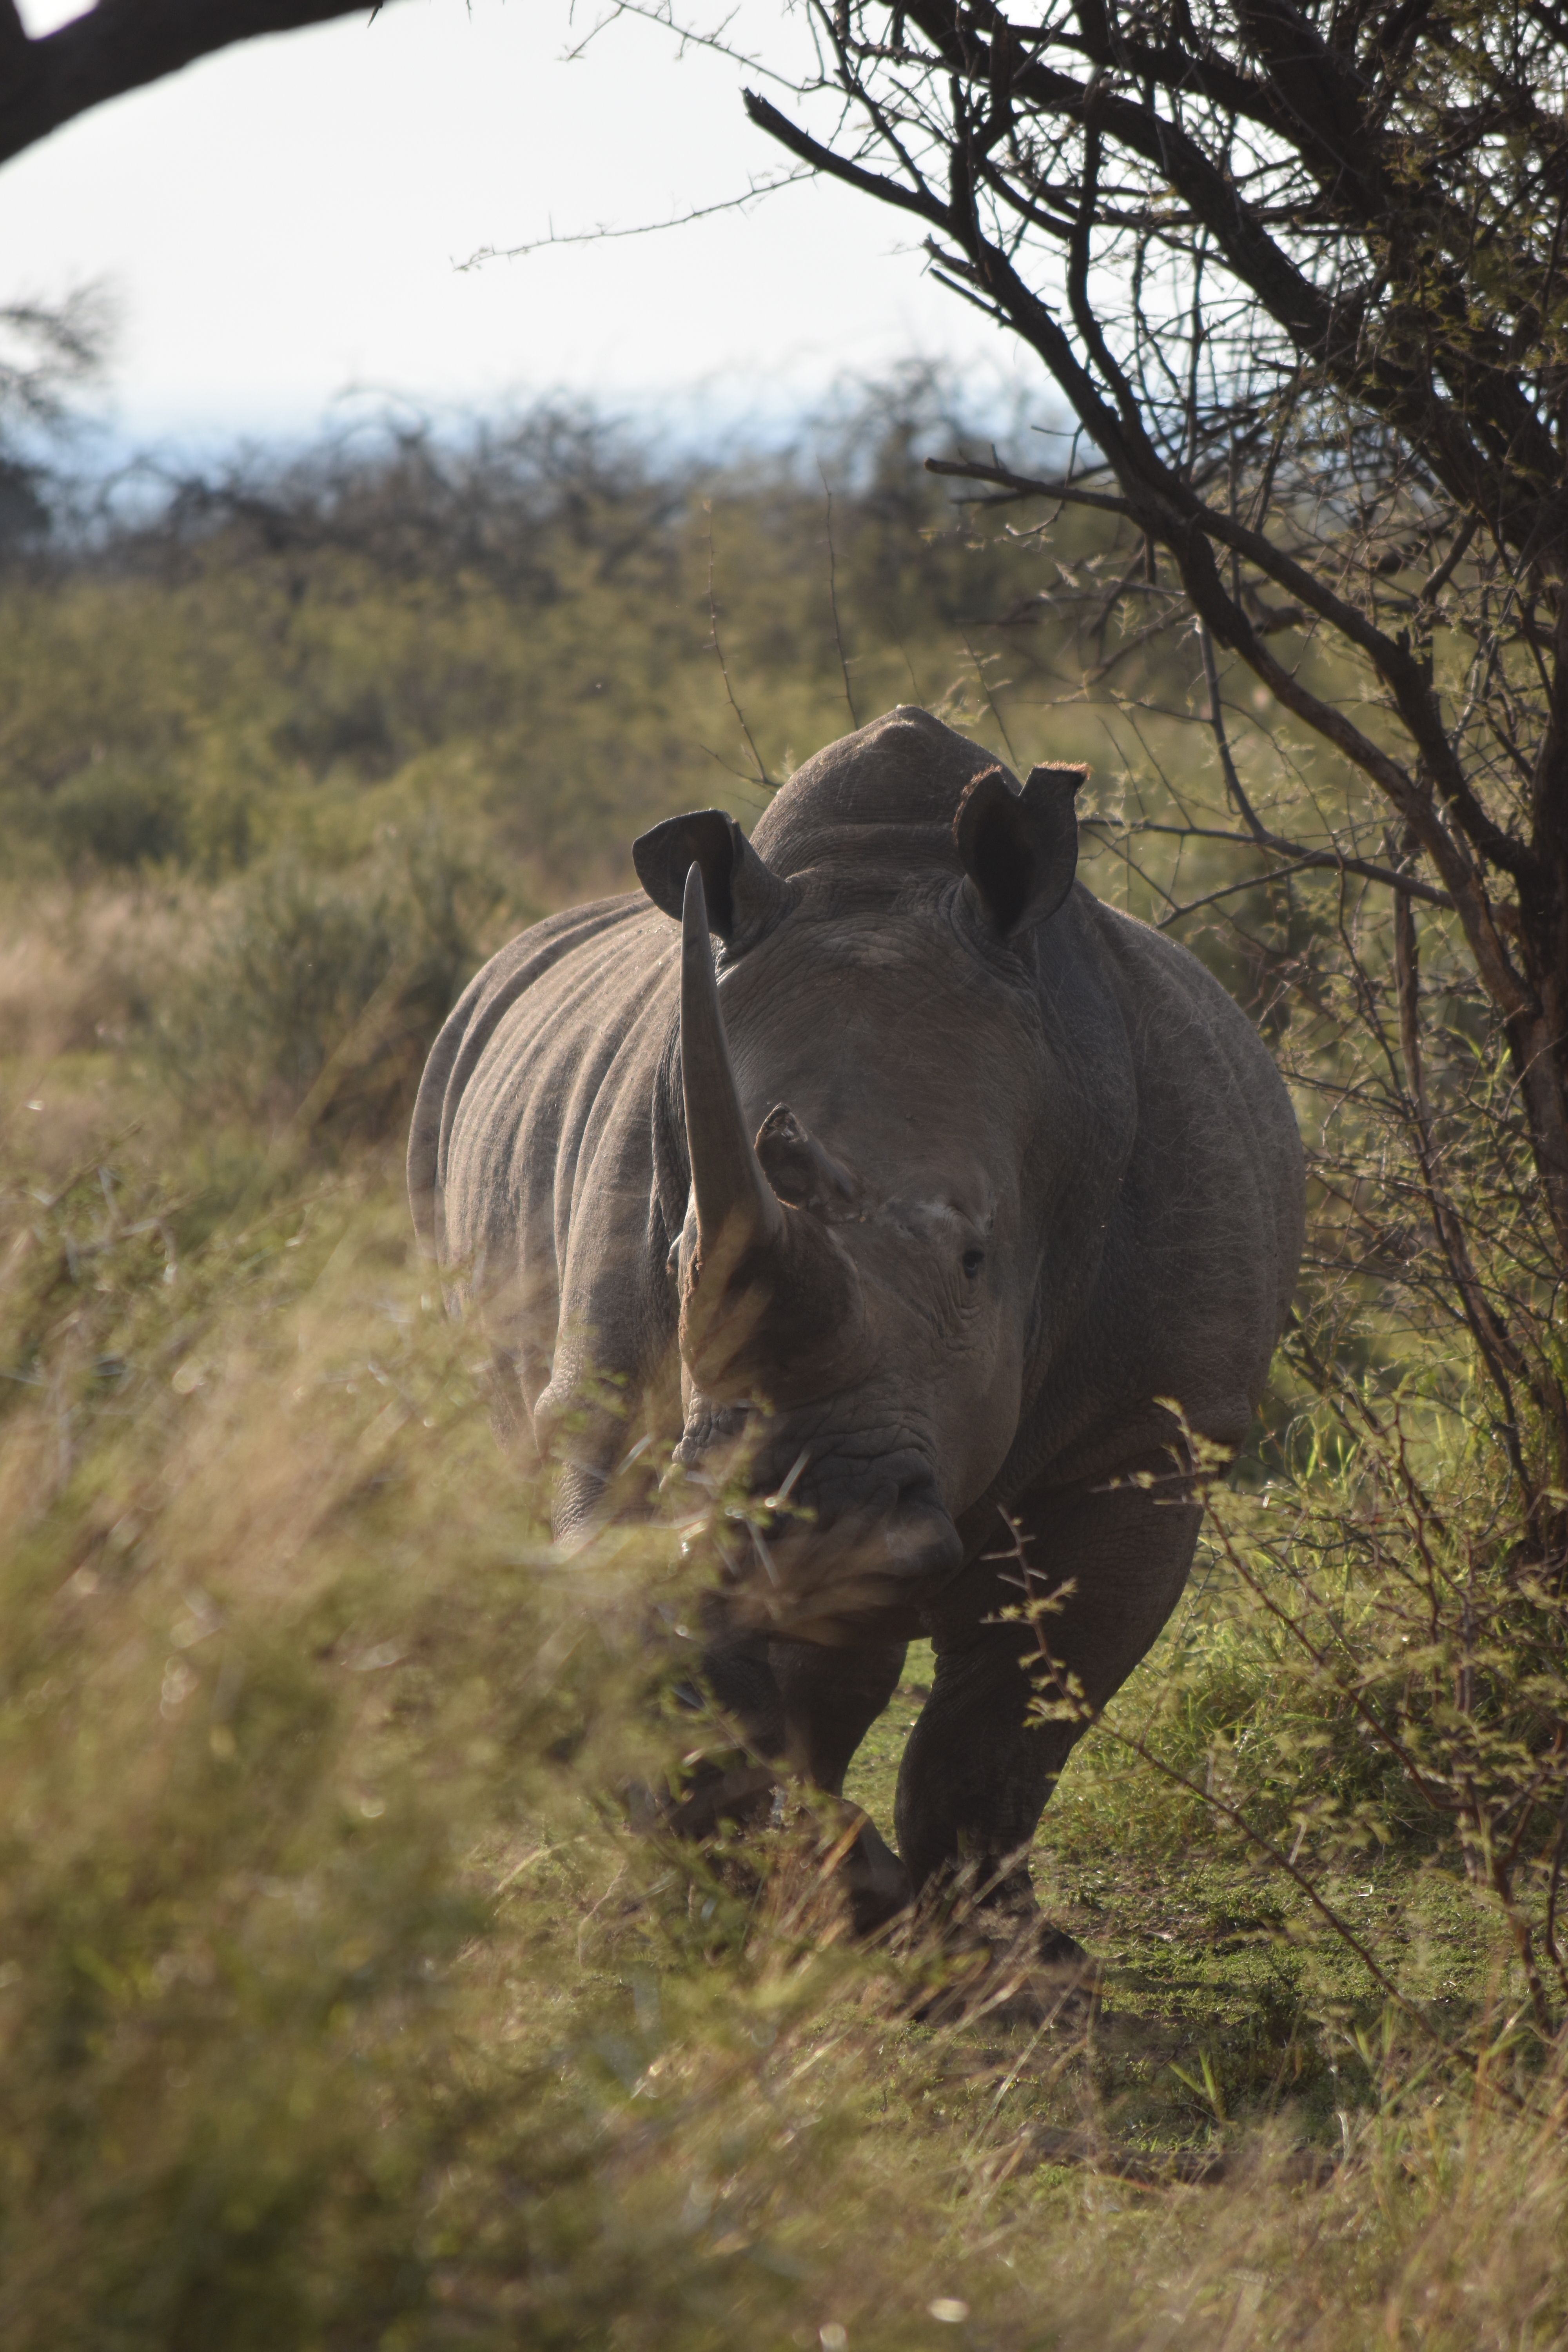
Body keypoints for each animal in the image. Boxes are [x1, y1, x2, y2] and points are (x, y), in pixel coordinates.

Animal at [409, 706, 1303, 1948]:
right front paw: (745, 1900)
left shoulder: (1151, 1431)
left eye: (975, 1261)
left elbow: (1002, 1730)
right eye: (682, 1259)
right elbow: (666, 1654)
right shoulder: (610, 1401)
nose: (806, 1530)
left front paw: (997, 1951)